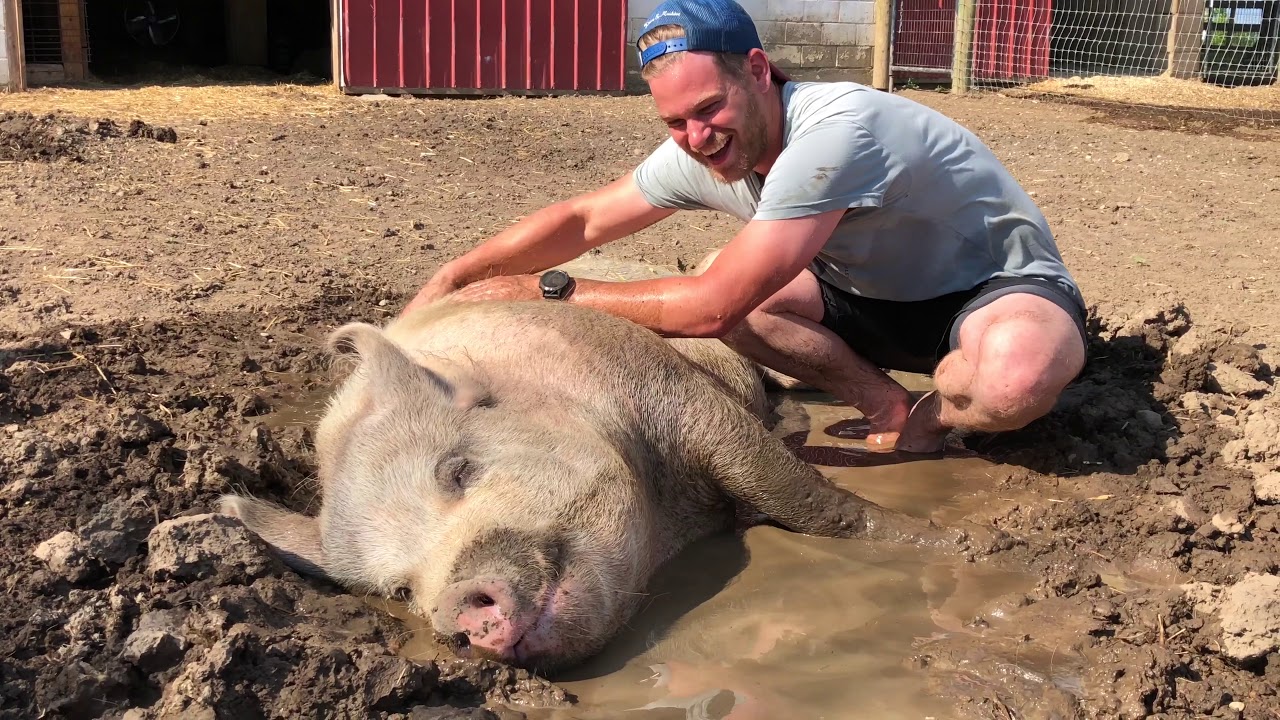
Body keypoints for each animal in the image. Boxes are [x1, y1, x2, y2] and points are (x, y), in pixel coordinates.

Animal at [219, 298, 966, 675]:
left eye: (458, 470)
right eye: (399, 589)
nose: (458, 607)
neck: (674, 526)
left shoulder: (679, 396)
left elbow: (801, 495)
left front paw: (958, 546)